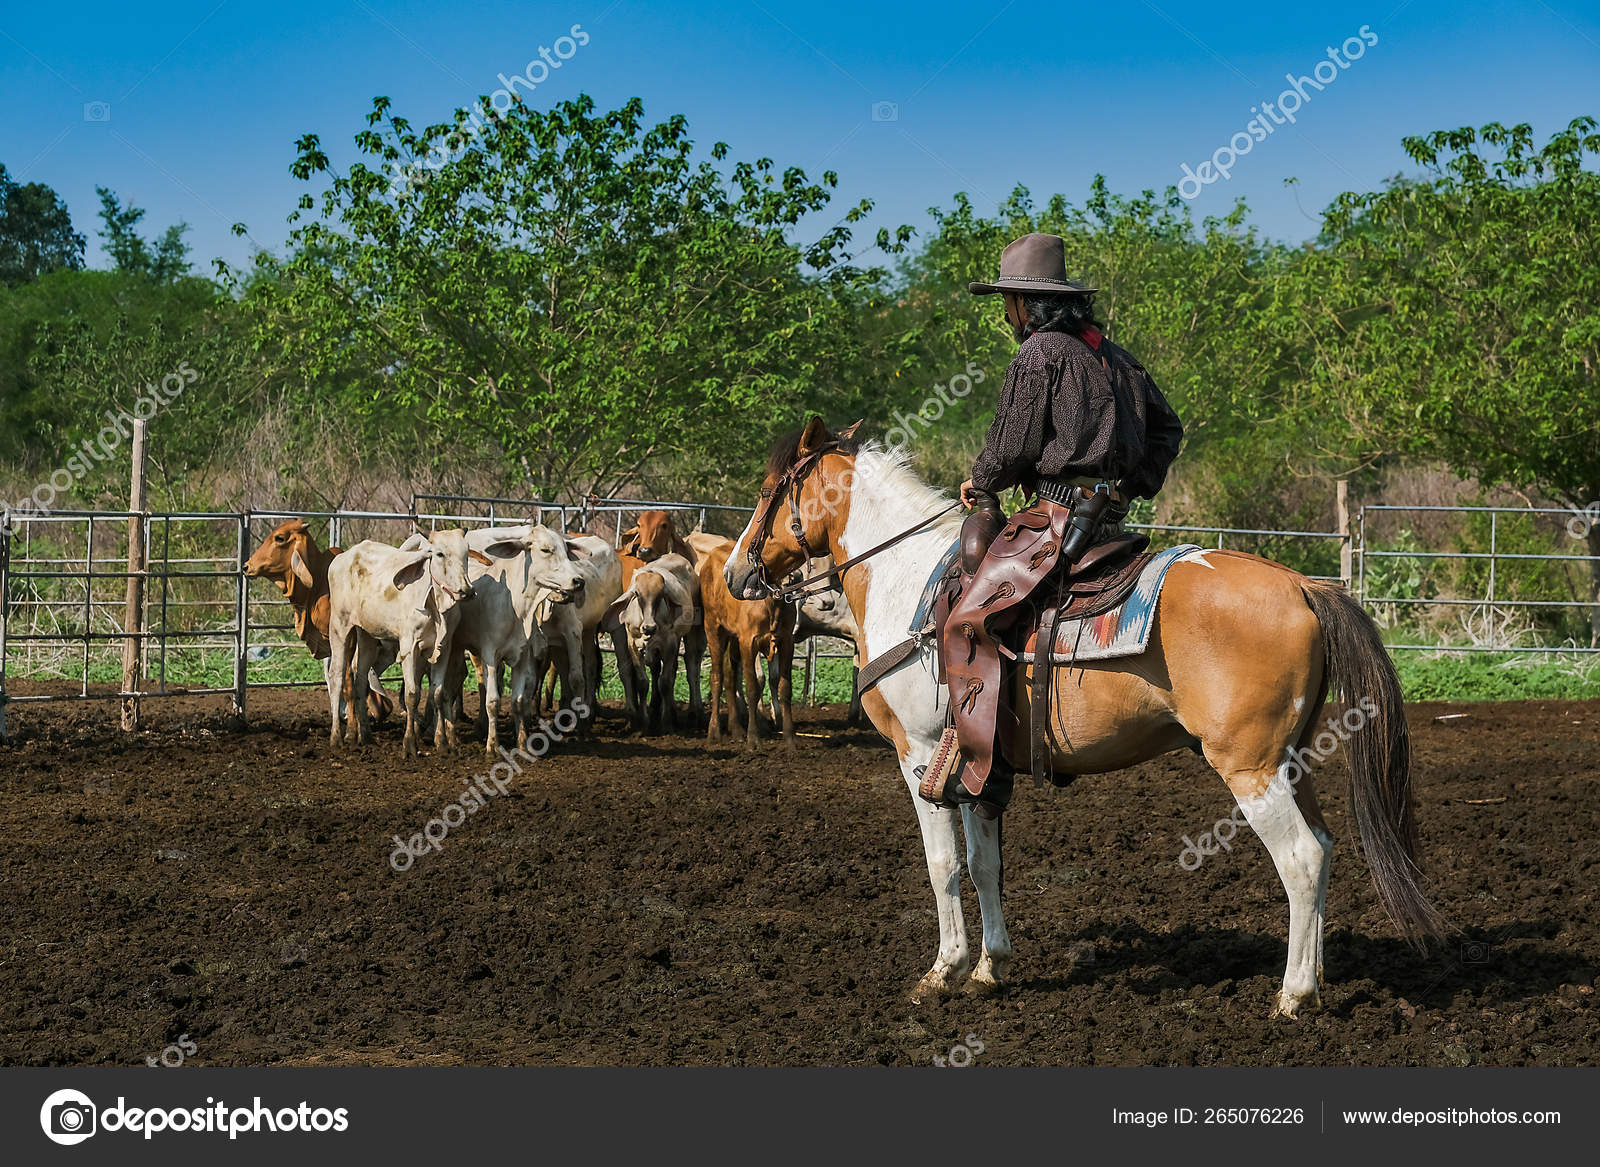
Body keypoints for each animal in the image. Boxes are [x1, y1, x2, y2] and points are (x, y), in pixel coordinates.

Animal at [242, 519, 395, 727]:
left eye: (280, 538)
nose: (246, 566)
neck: (318, 583)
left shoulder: (347, 636)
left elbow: (347, 680)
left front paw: (352, 724)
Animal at [326, 529, 486, 757]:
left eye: (466, 553)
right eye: (439, 554)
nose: (466, 590)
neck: (436, 605)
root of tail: (343, 557)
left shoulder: (444, 649)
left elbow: (437, 694)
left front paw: (442, 743)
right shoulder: (409, 648)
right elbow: (412, 694)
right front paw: (409, 744)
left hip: (366, 634)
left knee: (360, 679)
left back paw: (366, 737)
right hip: (339, 627)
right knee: (337, 676)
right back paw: (336, 737)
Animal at [603, 553, 704, 733]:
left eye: (661, 595)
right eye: (637, 594)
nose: (649, 627)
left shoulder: (669, 644)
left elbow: (665, 682)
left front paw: (666, 723)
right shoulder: (633, 645)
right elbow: (643, 683)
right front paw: (644, 723)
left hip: (687, 633)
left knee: (688, 666)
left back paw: (686, 714)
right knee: (658, 669)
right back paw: (656, 708)